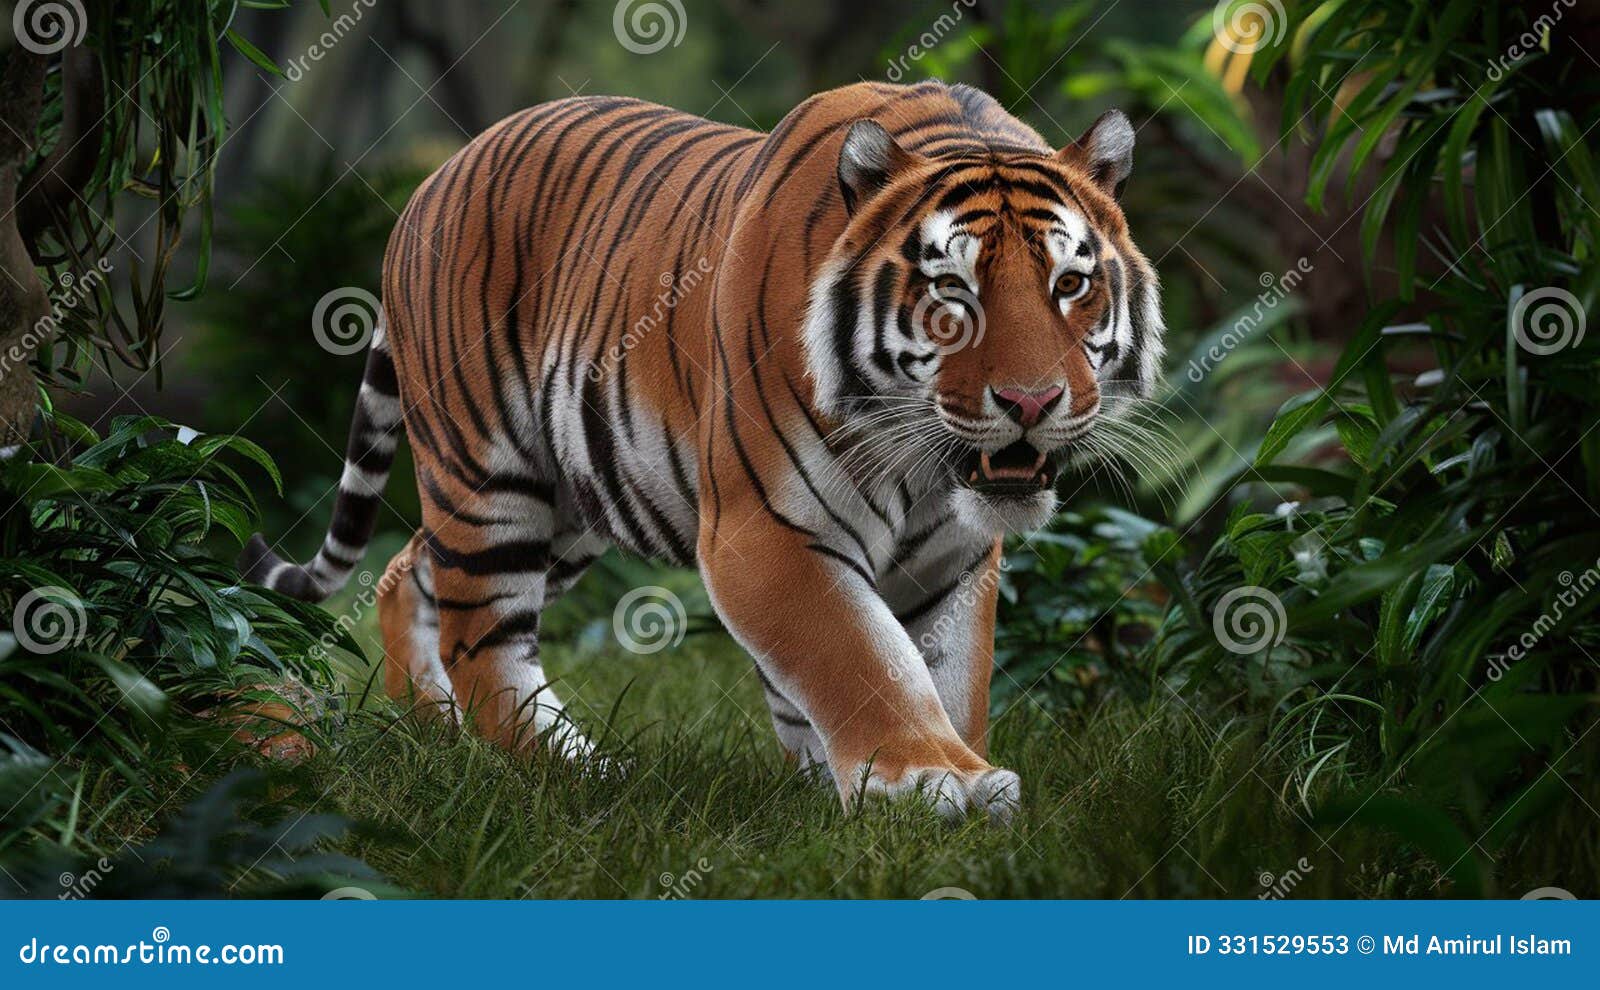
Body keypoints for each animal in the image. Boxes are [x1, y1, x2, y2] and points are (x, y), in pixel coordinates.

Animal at [243, 80, 1165, 822]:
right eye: (952, 293)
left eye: (1070, 285)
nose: (1032, 403)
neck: (927, 470)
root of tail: (438, 172)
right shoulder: (768, 530)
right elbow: (864, 656)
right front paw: (933, 781)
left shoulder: (957, 555)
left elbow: (942, 671)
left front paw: (877, 782)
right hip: (488, 473)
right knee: (485, 634)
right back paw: (569, 772)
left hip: (575, 504)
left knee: (409, 573)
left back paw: (436, 728)